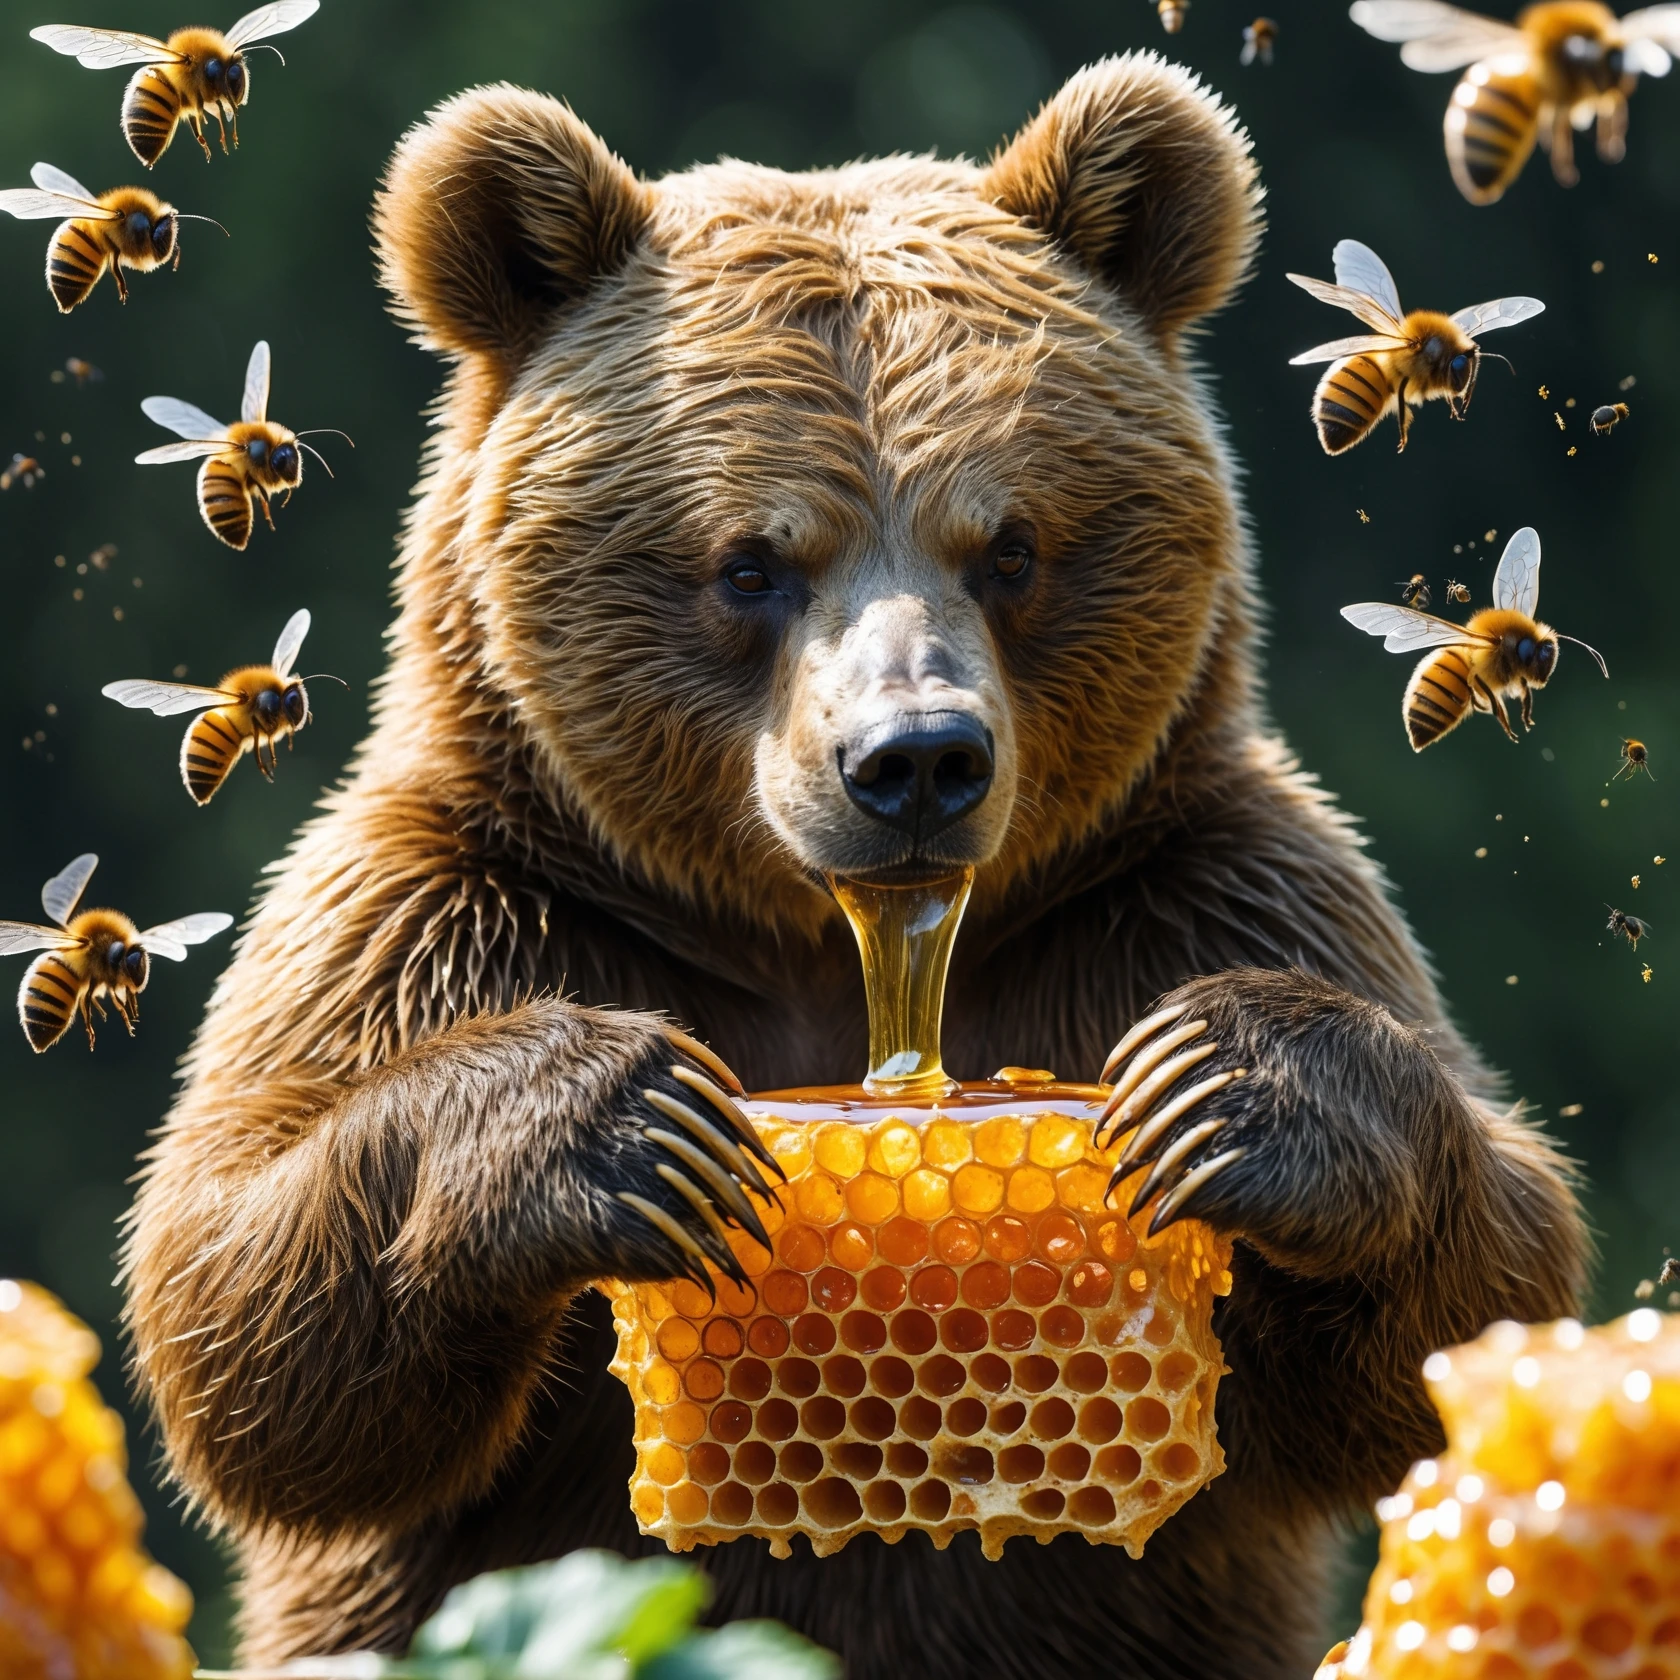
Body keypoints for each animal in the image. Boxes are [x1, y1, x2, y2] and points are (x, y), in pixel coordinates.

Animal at [125, 54, 1587, 1679]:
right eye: (750, 562)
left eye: (1009, 546)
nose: (917, 761)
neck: (831, 953)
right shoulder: (458, 905)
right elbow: (241, 1317)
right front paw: (625, 1120)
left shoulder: (1187, 888)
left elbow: (1479, 1308)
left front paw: (1231, 1083)